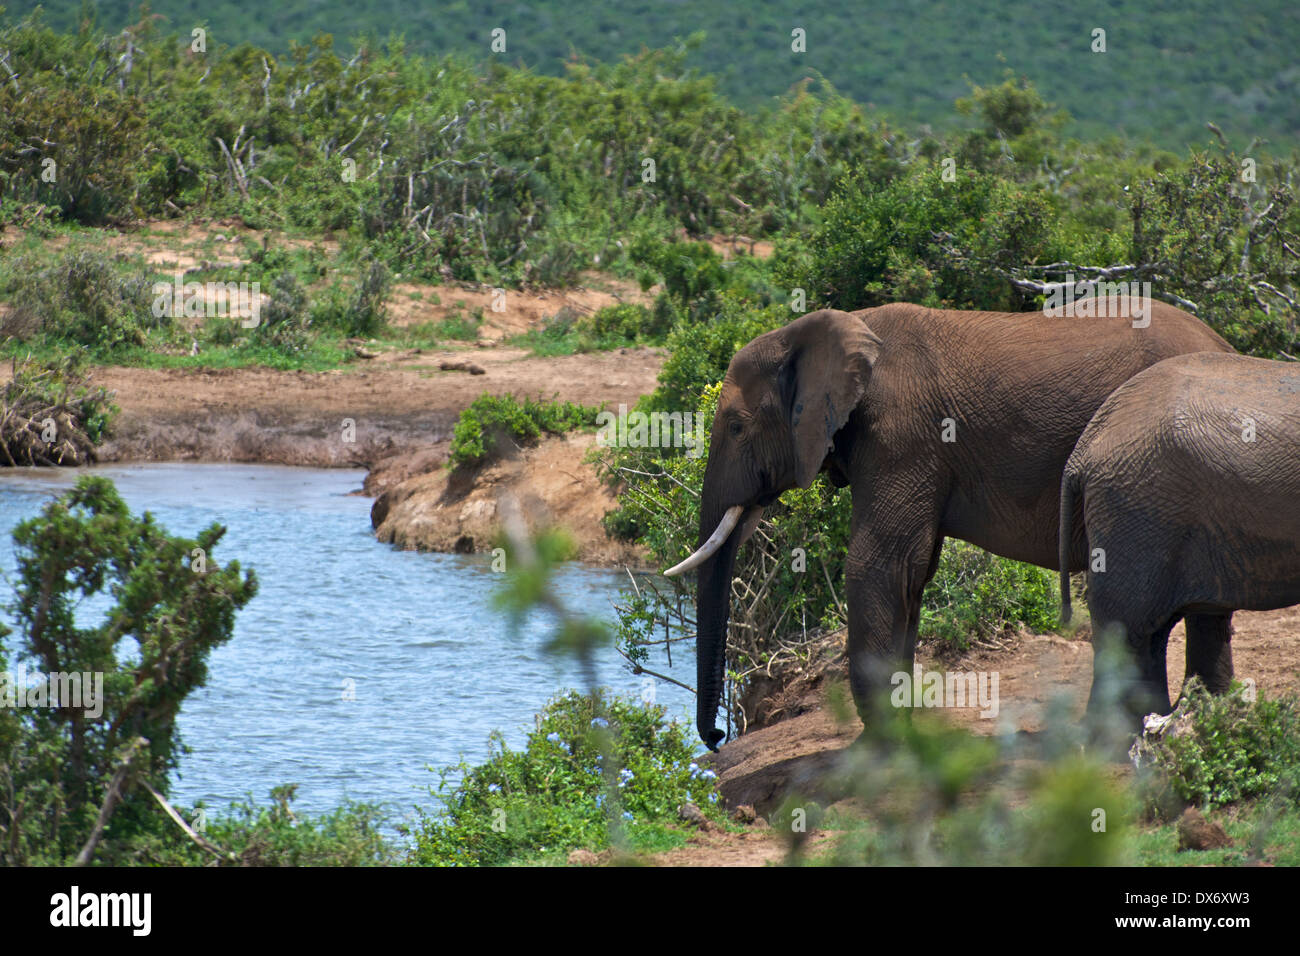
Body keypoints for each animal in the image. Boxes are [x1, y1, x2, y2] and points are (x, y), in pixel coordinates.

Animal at [665, 301, 1233, 750]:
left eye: (736, 427)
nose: (717, 738)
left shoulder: (902, 436)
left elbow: (879, 563)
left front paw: (878, 746)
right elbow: (913, 573)